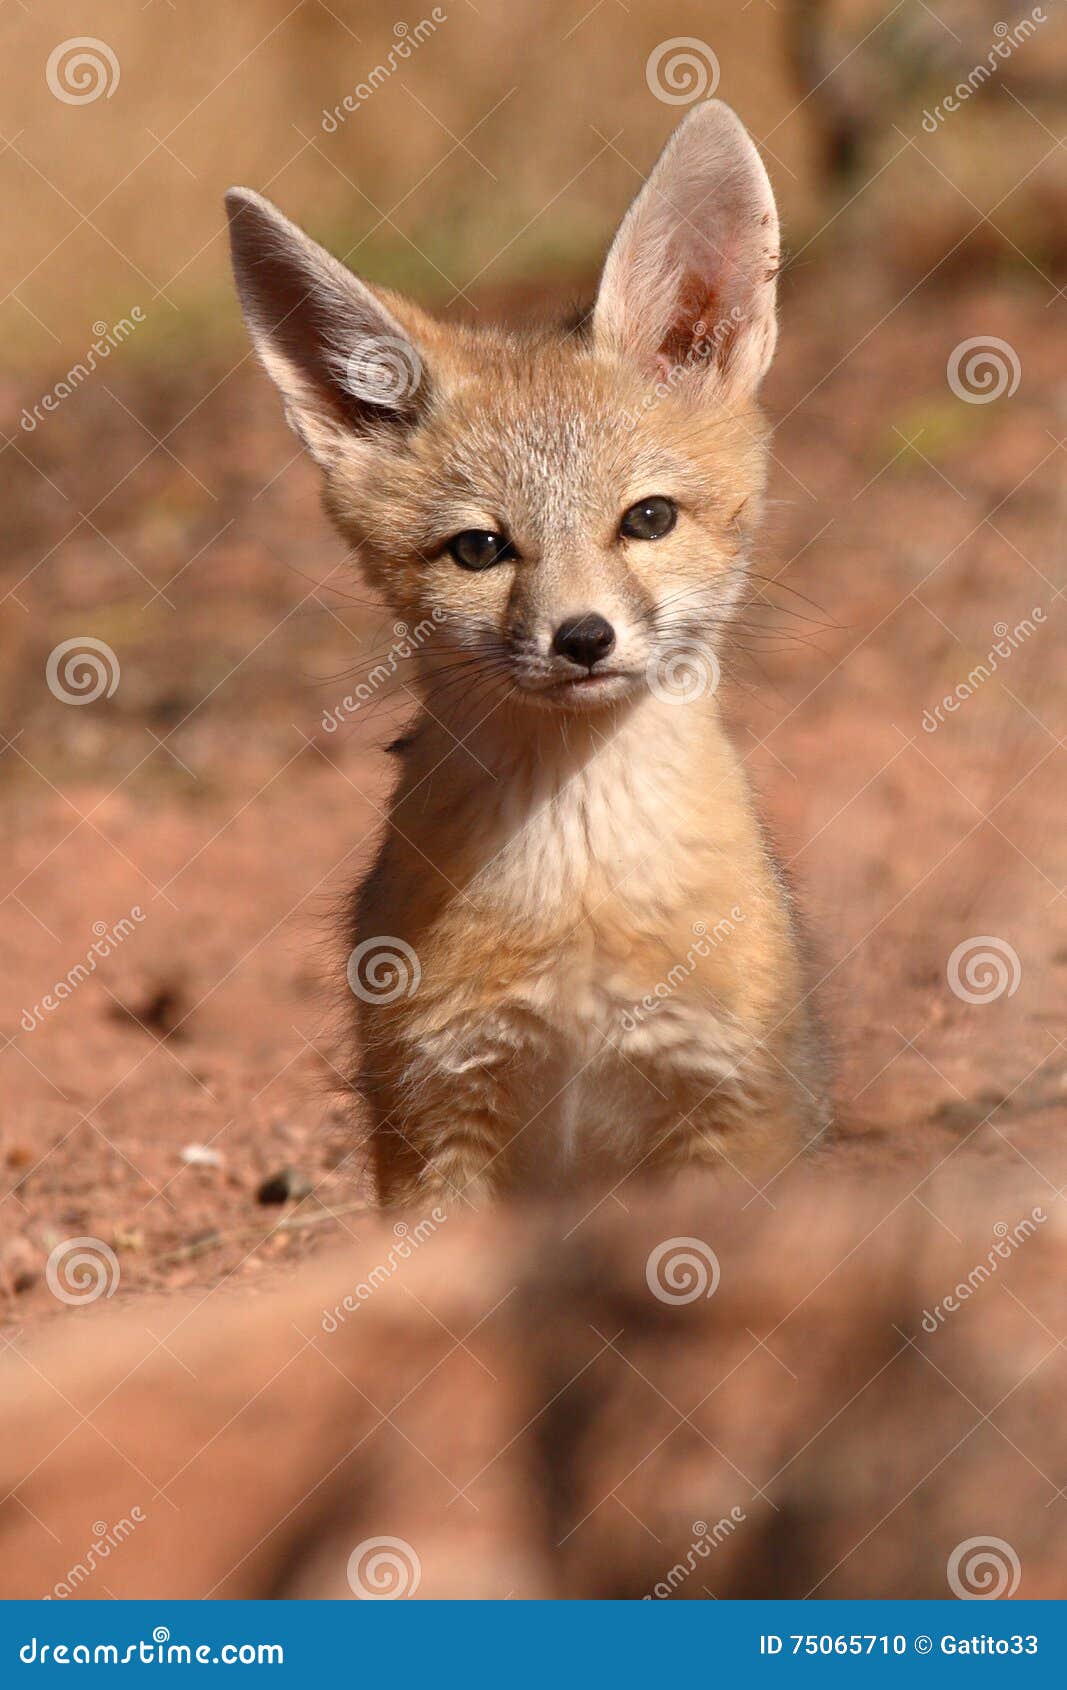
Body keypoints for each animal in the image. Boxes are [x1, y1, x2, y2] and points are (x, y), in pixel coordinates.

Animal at [226, 98, 827, 1210]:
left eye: (646, 519)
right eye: (479, 549)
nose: (581, 638)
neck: (577, 905)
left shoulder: (724, 1103)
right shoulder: (435, 1108)